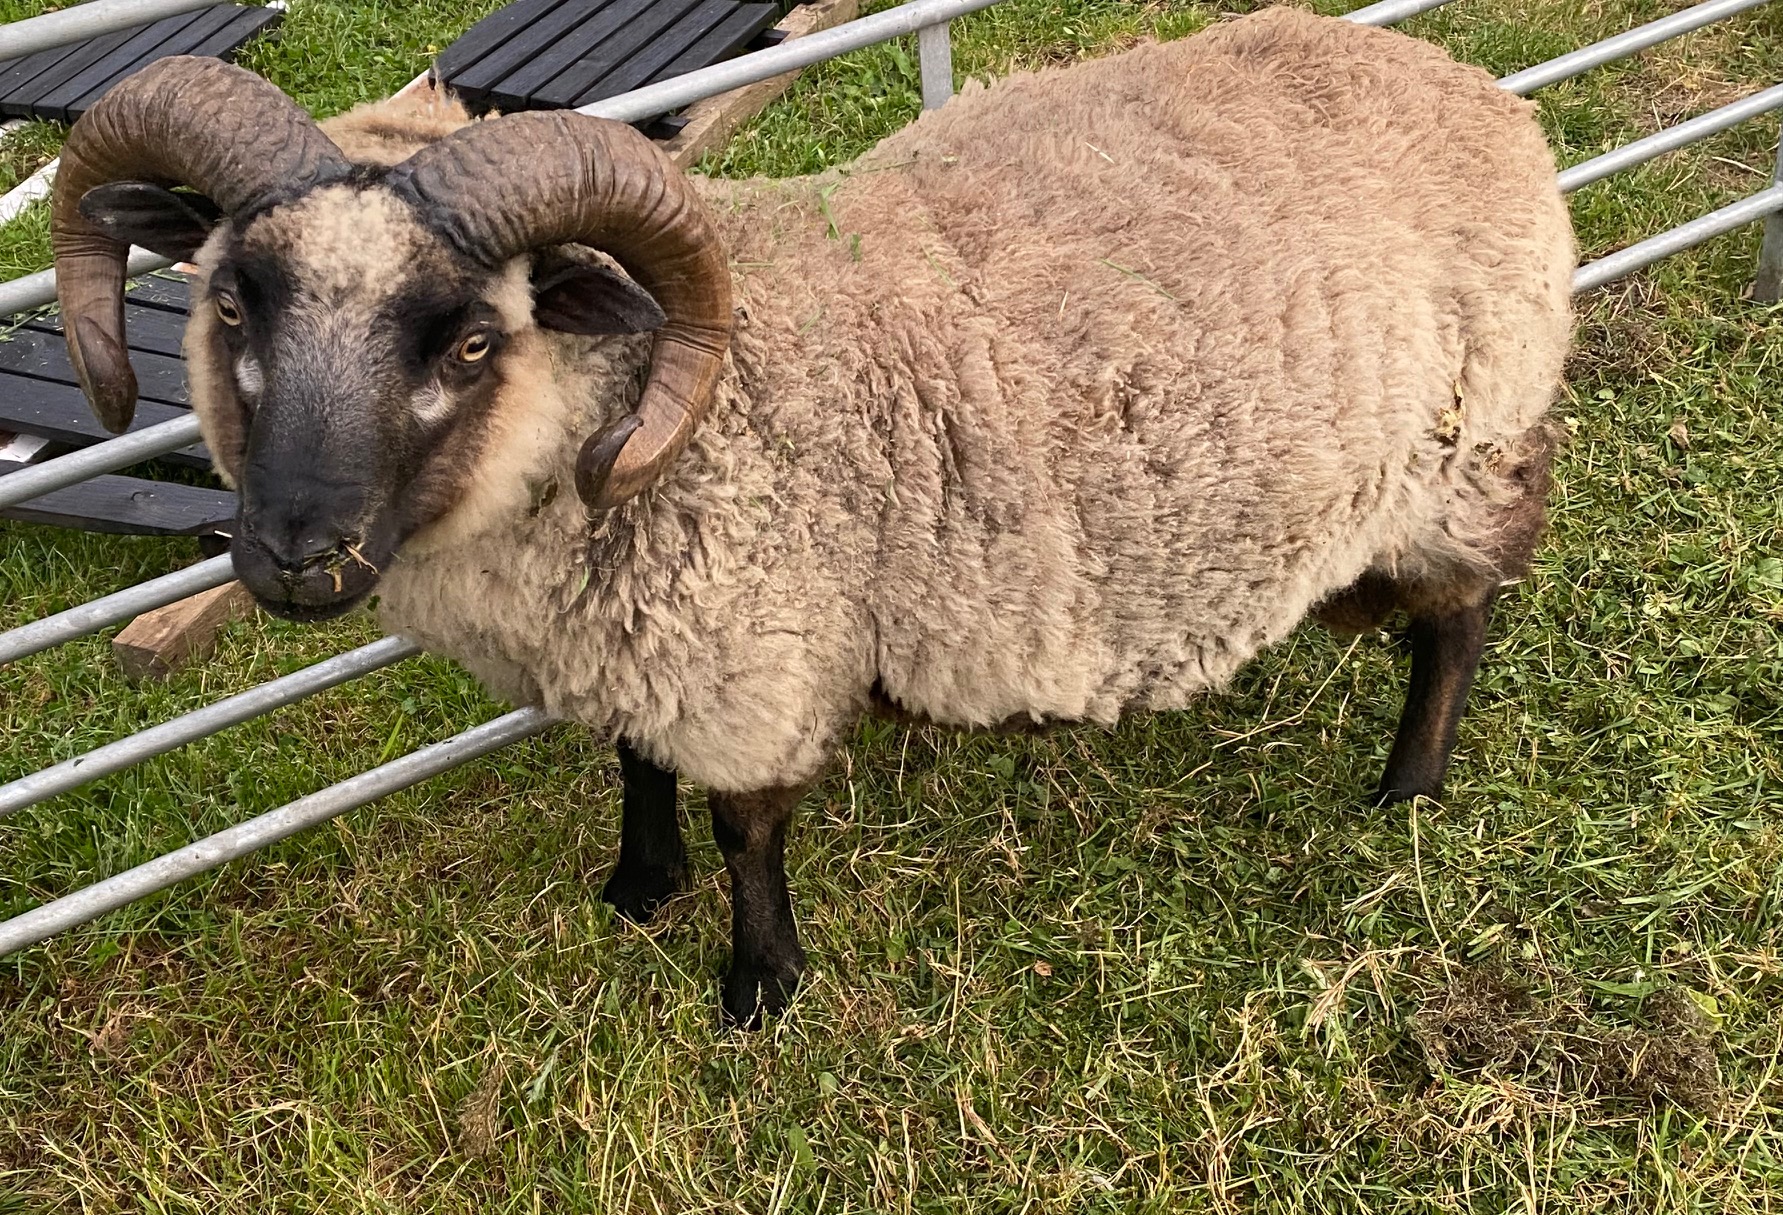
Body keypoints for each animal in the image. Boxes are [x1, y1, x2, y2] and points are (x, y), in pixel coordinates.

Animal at [50, 6, 1575, 1025]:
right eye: (230, 302)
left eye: (472, 341)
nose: (294, 558)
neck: (658, 406)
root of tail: (1470, 92)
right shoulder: (639, 636)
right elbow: (634, 761)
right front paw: (635, 886)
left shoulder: (749, 647)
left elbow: (748, 828)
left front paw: (757, 984)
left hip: (1464, 445)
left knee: (1465, 608)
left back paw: (1408, 784)